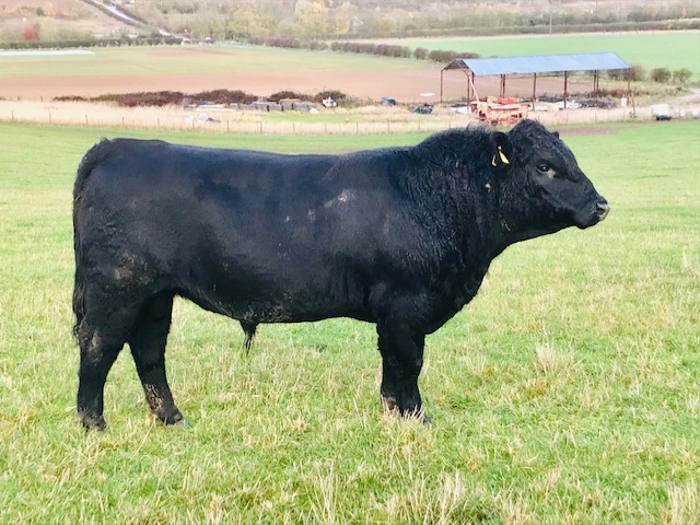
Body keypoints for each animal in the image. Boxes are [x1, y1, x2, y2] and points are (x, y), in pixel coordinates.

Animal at [72, 119, 609, 430]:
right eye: (545, 167)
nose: (601, 205)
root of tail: (117, 146)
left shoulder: (397, 313)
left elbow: (393, 365)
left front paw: (393, 410)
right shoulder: (405, 305)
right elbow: (408, 362)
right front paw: (416, 418)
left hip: (155, 295)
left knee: (148, 350)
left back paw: (172, 418)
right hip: (117, 286)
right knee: (99, 347)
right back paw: (93, 424)